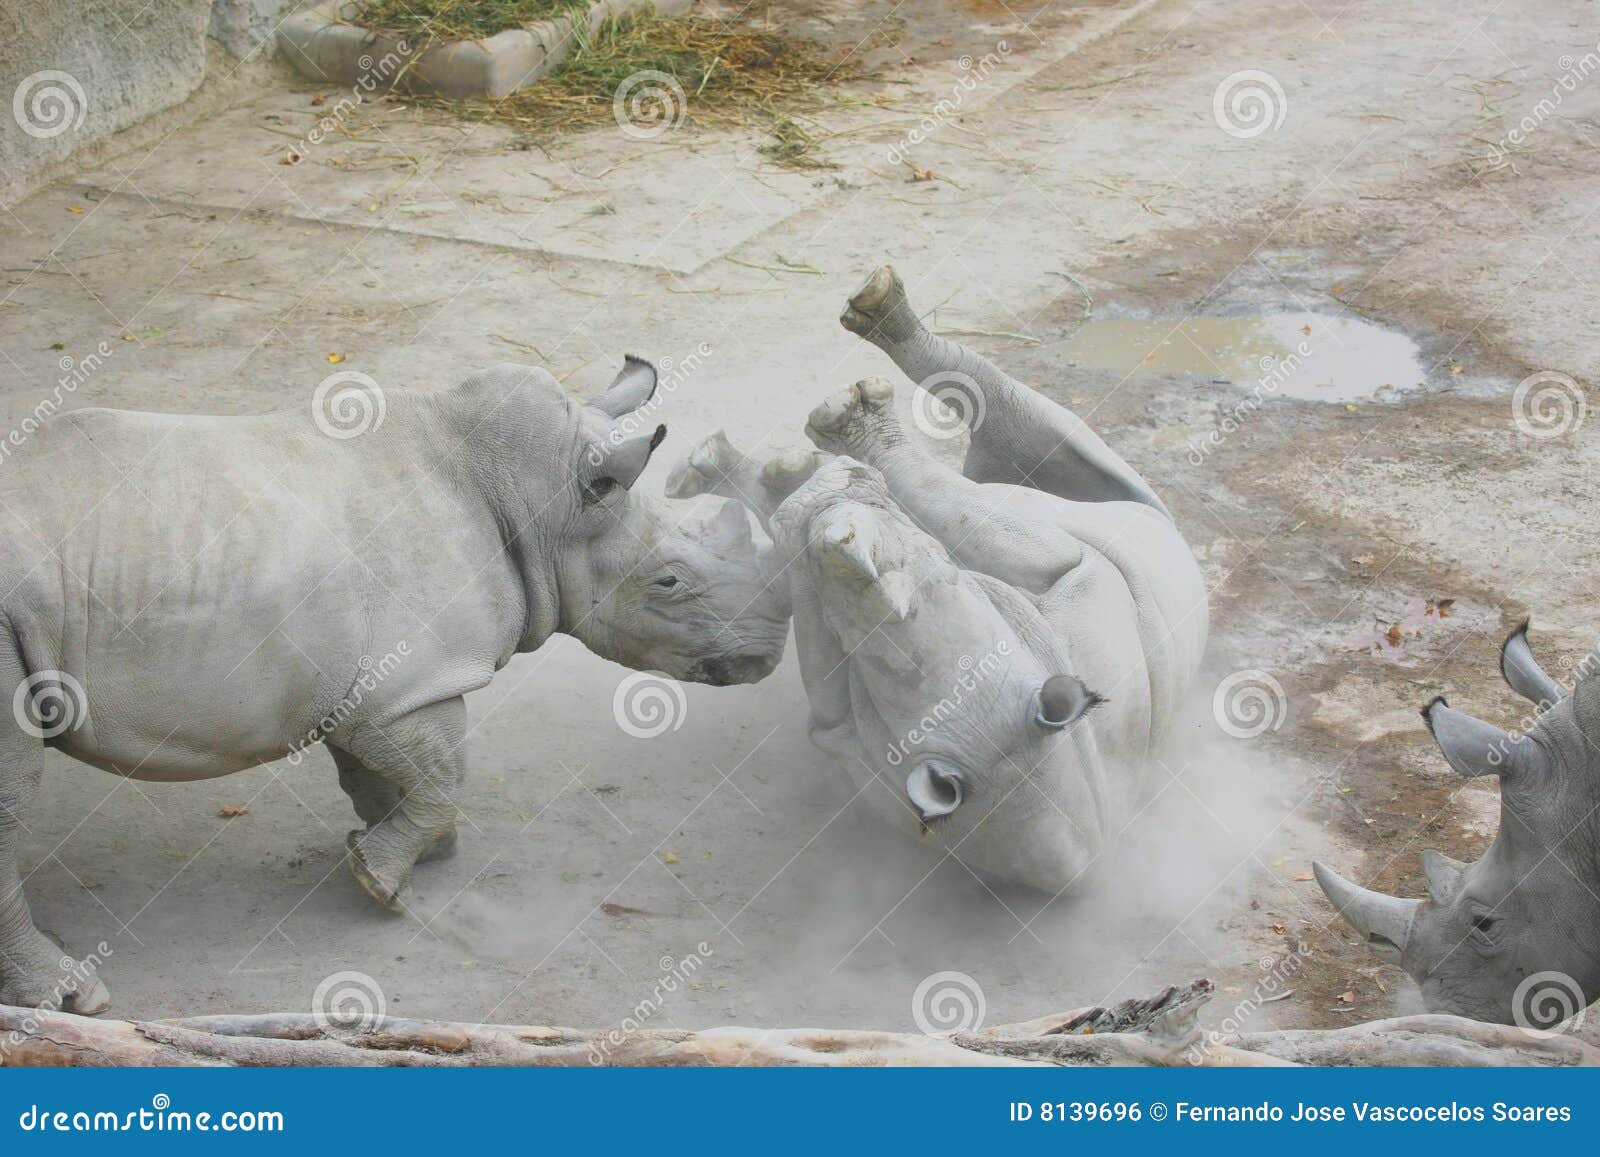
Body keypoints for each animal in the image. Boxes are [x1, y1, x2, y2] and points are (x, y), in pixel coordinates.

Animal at [0, 358, 789, 1013]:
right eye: (670, 581)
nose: (772, 652)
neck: (538, 501)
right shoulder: (408, 686)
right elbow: (445, 776)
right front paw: (382, 880)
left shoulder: (373, 688)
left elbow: (388, 777)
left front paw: (400, 850)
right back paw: (75, 996)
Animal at [669, 266, 1207, 892]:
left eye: (936, 582)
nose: (833, 521)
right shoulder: (849, 738)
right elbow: (822, 669)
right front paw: (805, 506)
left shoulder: (1072, 587)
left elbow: (992, 532)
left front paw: (812, 499)